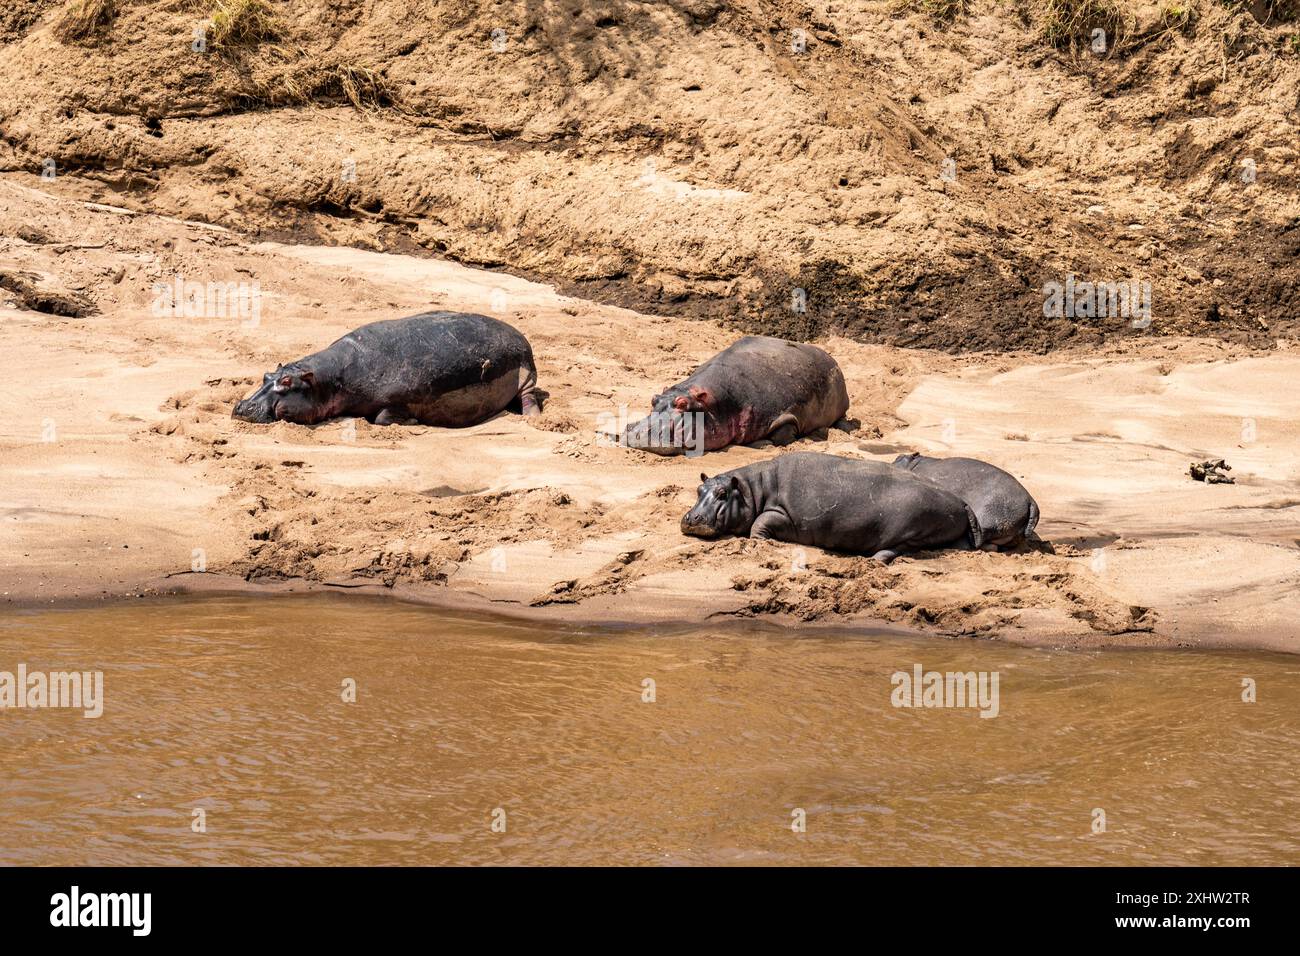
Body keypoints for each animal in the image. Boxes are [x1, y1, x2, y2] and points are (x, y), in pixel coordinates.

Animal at [232, 312, 541, 427]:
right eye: (266, 375)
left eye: (287, 383)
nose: (242, 406)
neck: (328, 380)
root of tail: (520, 334)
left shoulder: (399, 399)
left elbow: (382, 418)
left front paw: (413, 422)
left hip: (525, 373)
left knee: (529, 397)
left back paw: (532, 419)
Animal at [622, 335, 850, 456]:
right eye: (653, 399)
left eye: (683, 404)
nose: (639, 434)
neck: (716, 402)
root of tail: (831, 358)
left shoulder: (785, 414)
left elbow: (782, 435)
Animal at [680, 452, 982, 563]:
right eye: (699, 489)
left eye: (722, 493)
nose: (692, 518)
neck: (751, 489)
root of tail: (961, 501)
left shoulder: (783, 514)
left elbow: (760, 522)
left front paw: (758, 542)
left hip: (912, 529)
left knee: (898, 549)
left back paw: (874, 561)